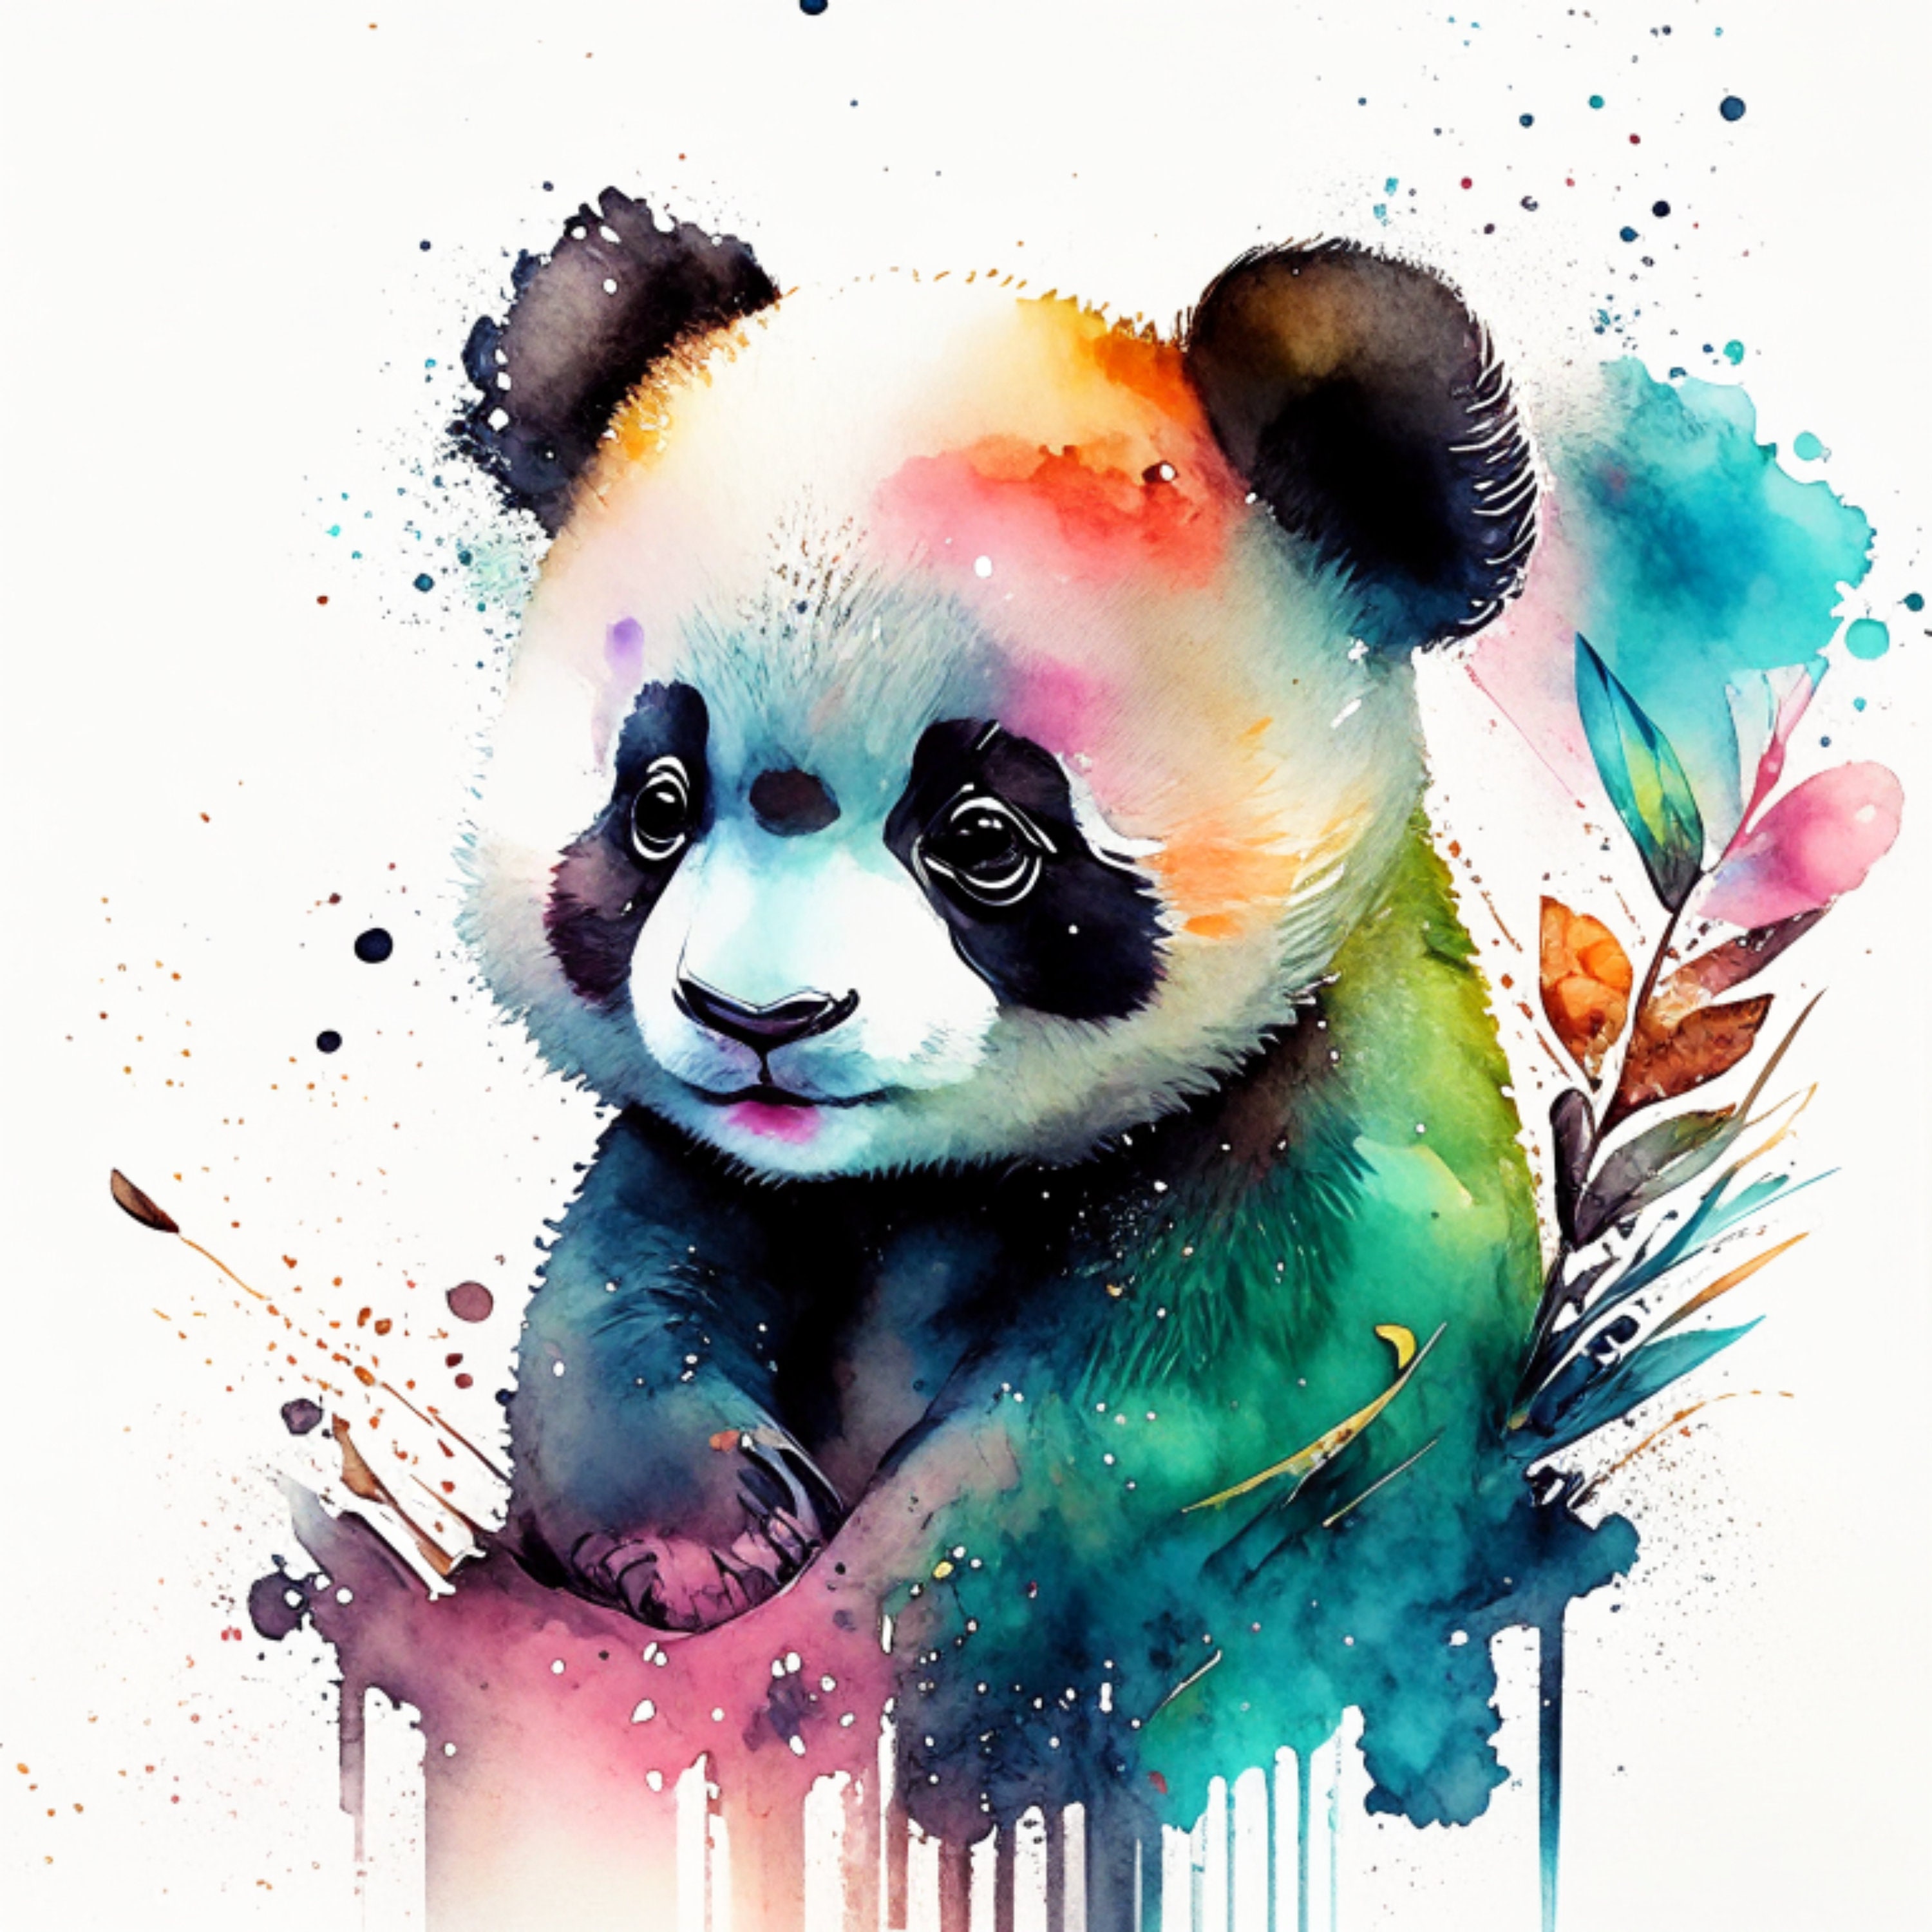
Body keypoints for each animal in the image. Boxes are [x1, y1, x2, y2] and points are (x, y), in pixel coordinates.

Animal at [456, 188, 1544, 1822]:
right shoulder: (727, 1169)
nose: (758, 1016)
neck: (929, 1186)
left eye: (985, 838)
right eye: (657, 808)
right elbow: (608, 1299)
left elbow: (1145, 1449)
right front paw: (699, 1538)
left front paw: (829, 1649)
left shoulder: (1330, 1132)